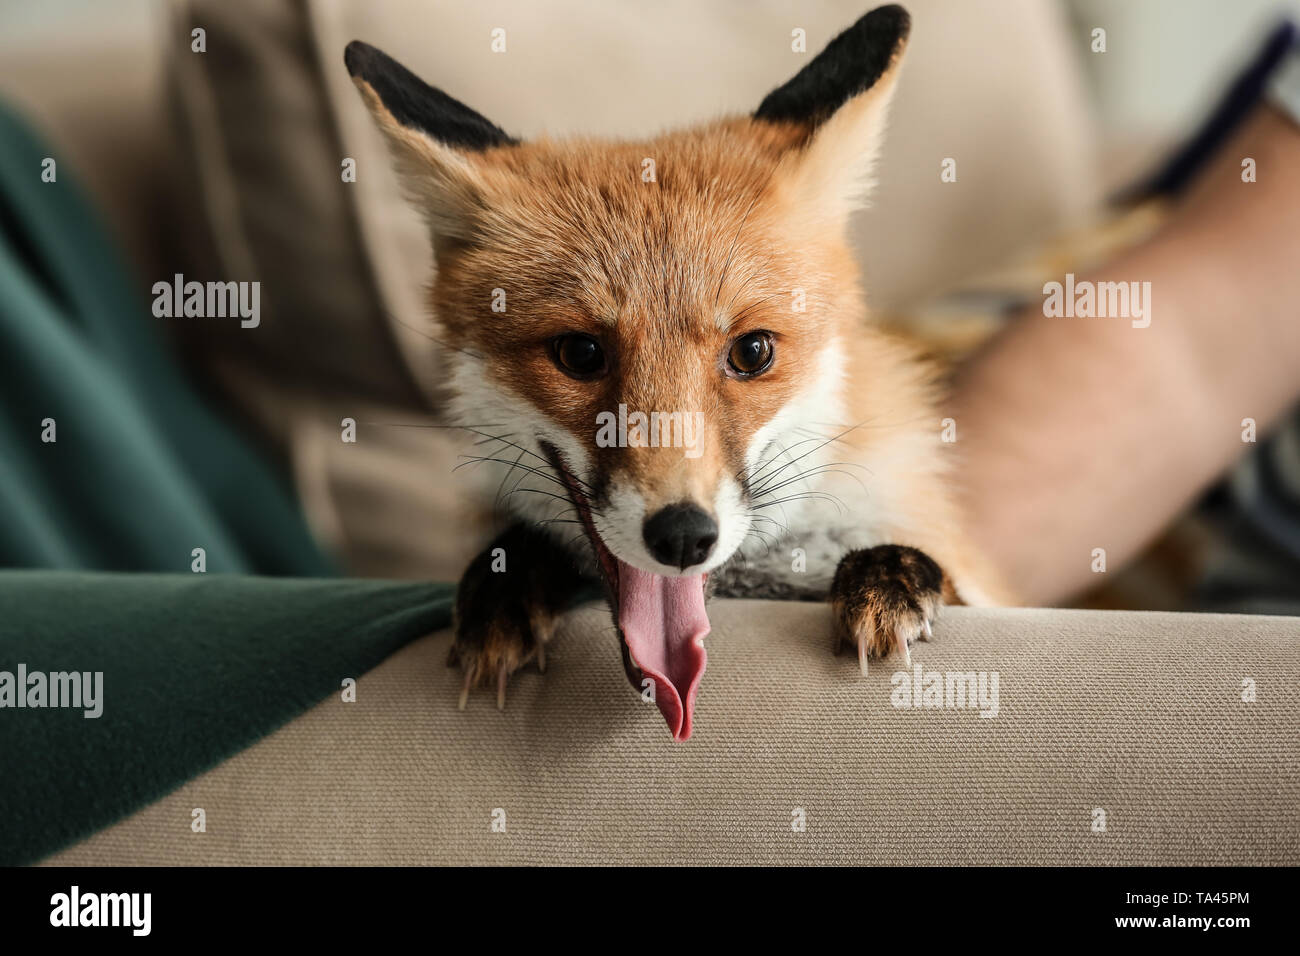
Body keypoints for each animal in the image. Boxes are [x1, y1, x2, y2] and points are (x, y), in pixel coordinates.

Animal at [346, 4, 1010, 741]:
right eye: (581, 354)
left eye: (753, 352)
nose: (684, 536)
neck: (756, 579)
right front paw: (503, 586)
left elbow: (940, 571)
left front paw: (885, 574)